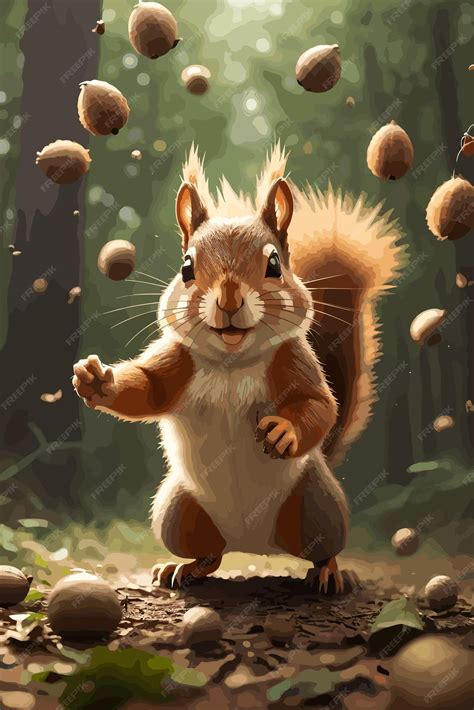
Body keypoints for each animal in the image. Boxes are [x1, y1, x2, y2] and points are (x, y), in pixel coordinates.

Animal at [73, 144, 405, 593]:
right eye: (186, 267)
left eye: (274, 264)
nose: (229, 301)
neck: (232, 361)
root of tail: (252, 544)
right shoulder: (178, 361)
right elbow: (148, 388)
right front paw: (97, 380)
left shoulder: (292, 360)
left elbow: (318, 404)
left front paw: (284, 432)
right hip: (177, 511)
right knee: (210, 554)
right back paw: (182, 568)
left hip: (317, 507)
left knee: (324, 547)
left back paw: (330, 572)